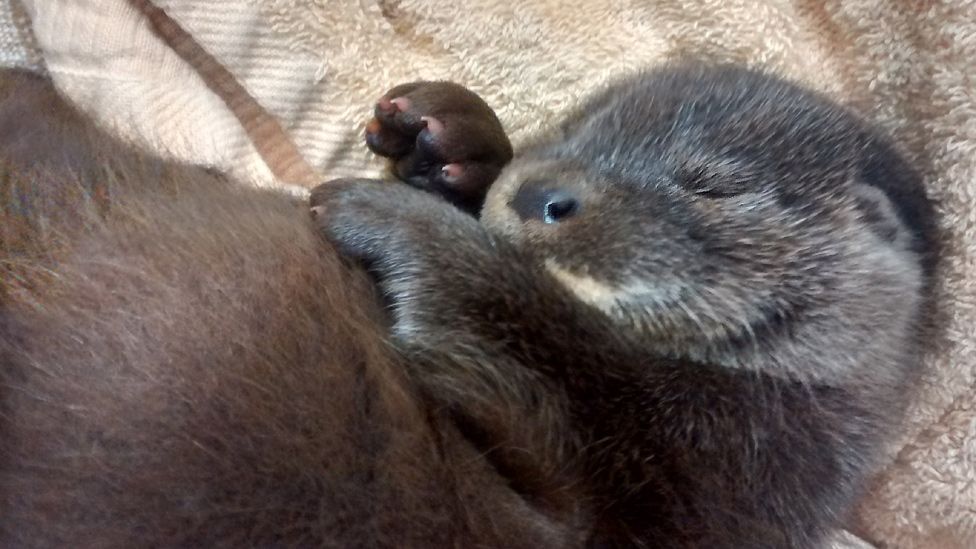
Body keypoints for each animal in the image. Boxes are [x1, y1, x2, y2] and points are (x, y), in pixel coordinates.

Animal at [0, 64, 937, 548]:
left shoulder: (685, 475)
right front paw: (452, 139)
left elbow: (520, 320)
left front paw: (398, 214)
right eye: (579, 131)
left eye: (711, 183)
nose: (540, 189)